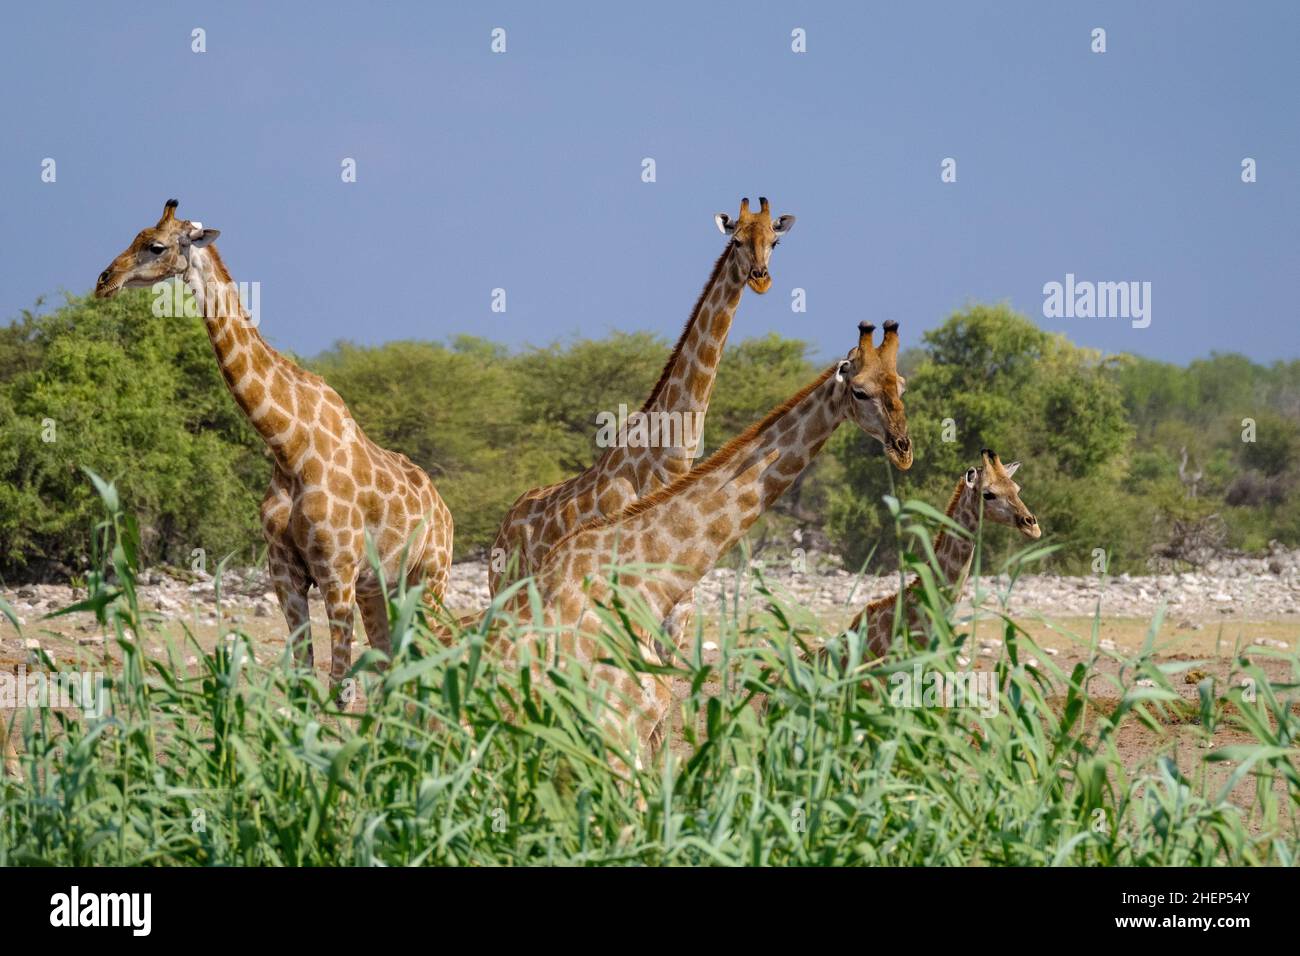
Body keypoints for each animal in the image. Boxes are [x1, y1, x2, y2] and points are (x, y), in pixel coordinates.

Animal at [94, 200, 453, 695]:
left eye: (156, 246)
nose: (104, 280)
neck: (288, 445)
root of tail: (445, 512)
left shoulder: (337, 572)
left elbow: (339, 687)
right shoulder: (286, 575)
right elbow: (304, 678)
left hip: (429, 580)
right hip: (379, 589)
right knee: (389, 669)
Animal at [488, 197, 797, 645]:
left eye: (774, 241)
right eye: (736, 240)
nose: (760, 279)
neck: (671, 456)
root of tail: (504, 524)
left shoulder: (677, 612)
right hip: (505, 588)